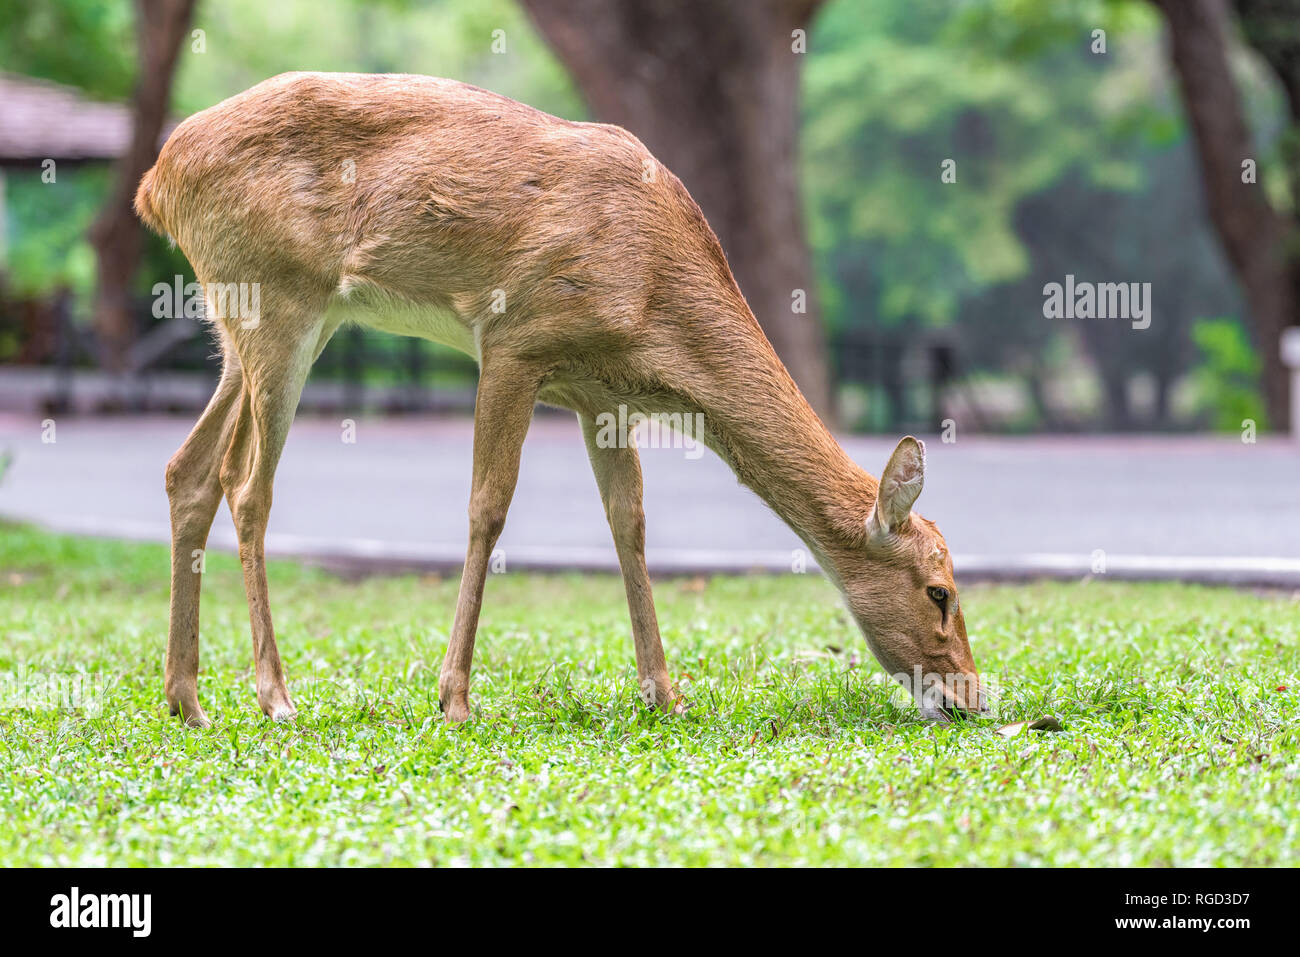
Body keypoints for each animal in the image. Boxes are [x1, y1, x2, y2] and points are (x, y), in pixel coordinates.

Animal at [135, 72, 985, 728]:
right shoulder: (516, 339)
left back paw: (187, 699)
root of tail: (156, 181)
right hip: (276, 302)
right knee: (247, 483)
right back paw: (274, 696)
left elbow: (628, 522)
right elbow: (488, 506)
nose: (971, 696)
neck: (652, 292)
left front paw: (665, 693)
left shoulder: (599, 395)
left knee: (188, 469)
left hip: (246, 324)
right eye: (939, 590)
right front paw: (453, 699)